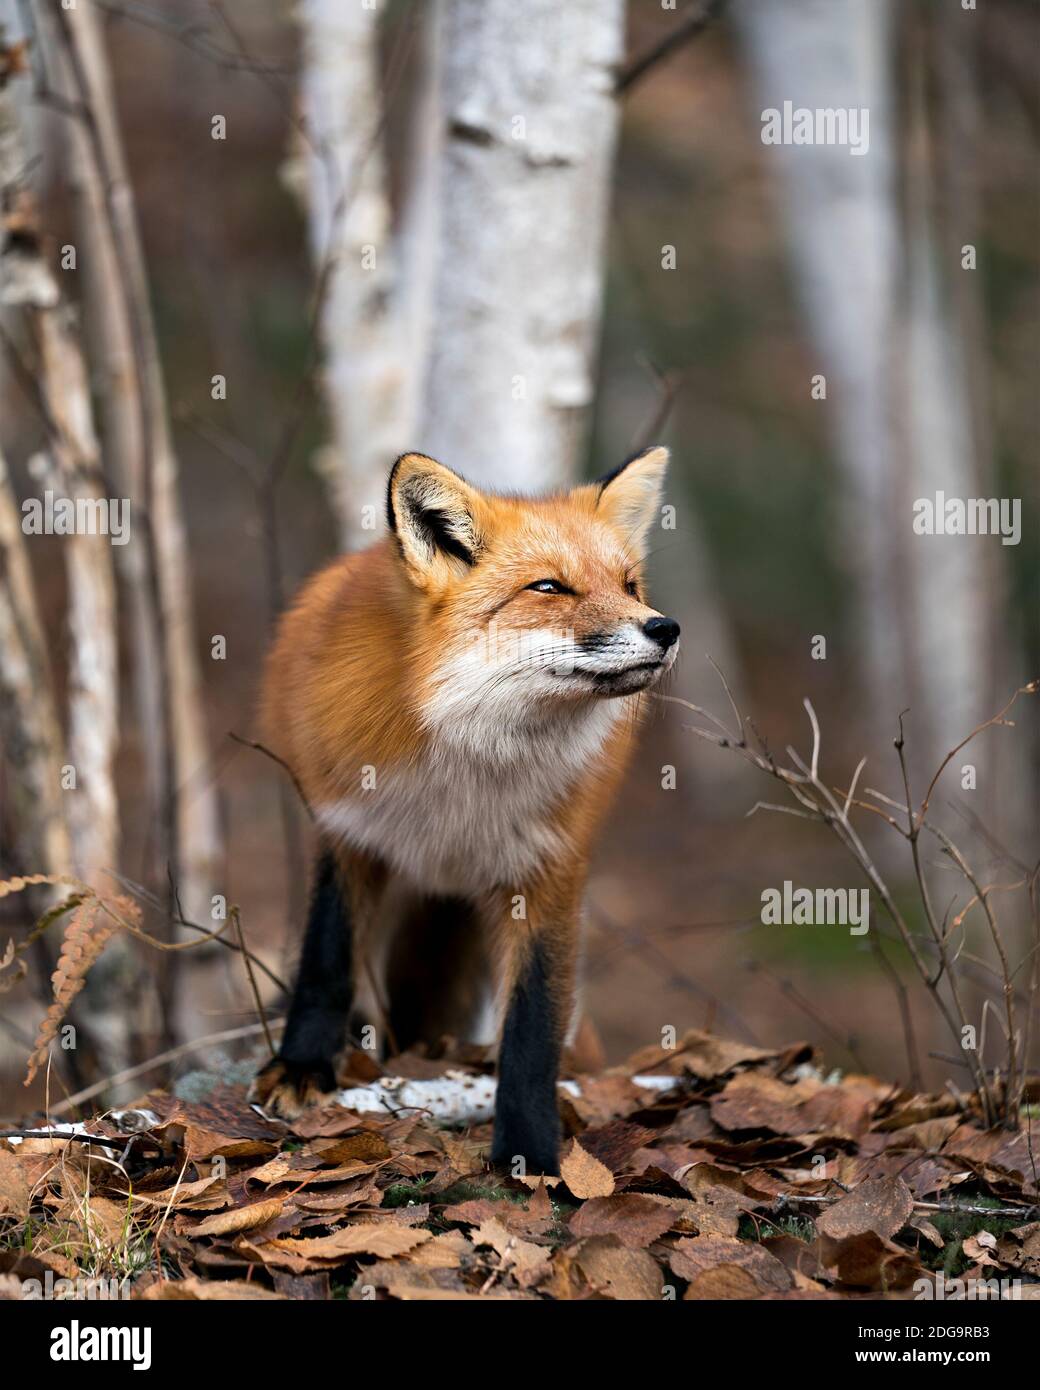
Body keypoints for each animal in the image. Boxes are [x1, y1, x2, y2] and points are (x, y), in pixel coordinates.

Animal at [251, 447, 680, 1174]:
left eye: (630, 585)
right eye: (549, 588)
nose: (665, 627)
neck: (467, 774)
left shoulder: (551, 867)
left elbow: (533, 1028)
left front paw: (528, 1152)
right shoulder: (348, 832)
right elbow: (325, 958)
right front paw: (303, 1067)